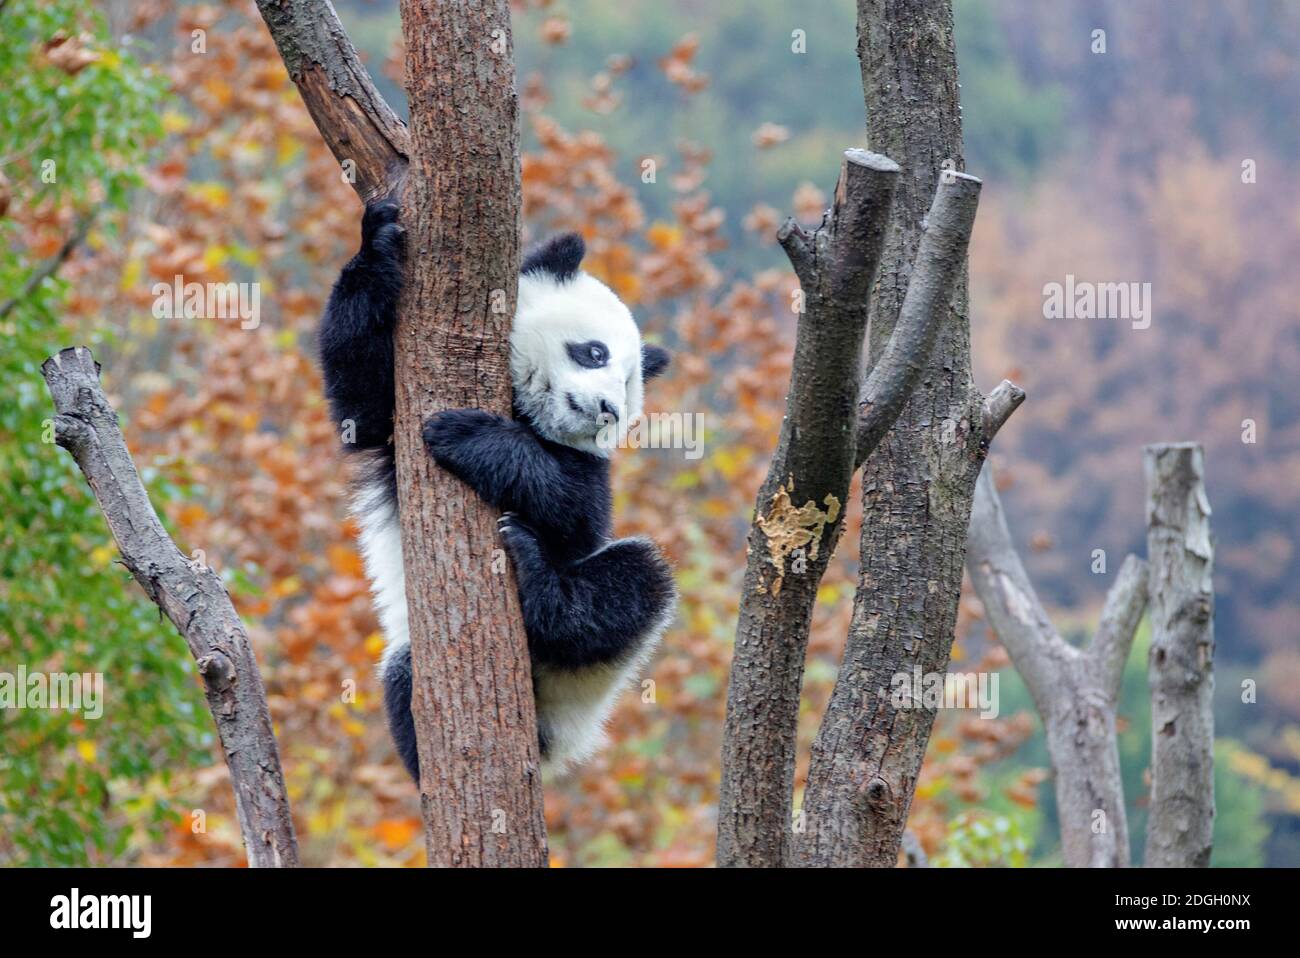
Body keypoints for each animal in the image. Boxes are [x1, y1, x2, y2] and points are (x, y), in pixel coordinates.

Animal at [319, 201, 677, 781]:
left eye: (629, 385)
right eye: (594, 352)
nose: (609, 411)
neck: (525, 408)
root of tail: (553, 743)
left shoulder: (587, 466)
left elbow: (574, 514)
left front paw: (466, 436)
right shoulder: (389, 421)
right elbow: (361, 403)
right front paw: (378, 239)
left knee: (633, 586)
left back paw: (534, 574)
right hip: (412, 650)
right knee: (403, 679)